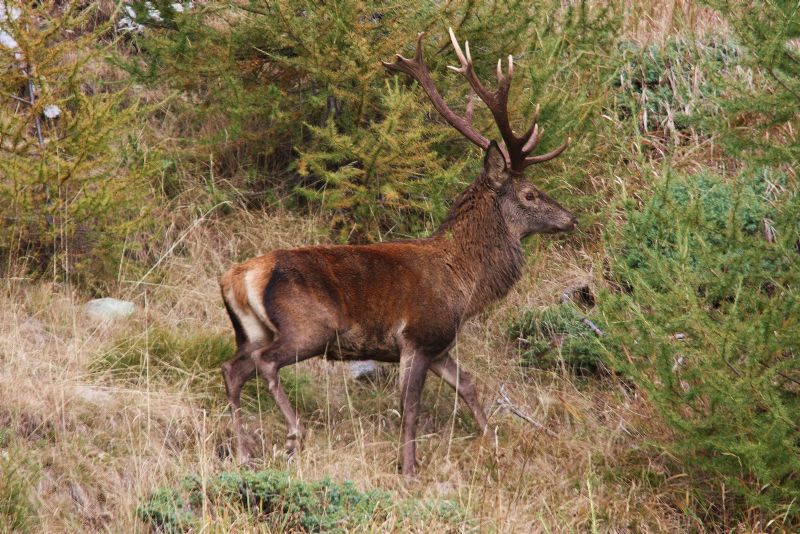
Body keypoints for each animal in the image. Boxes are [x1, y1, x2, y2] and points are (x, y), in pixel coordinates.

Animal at [218, 29, 577, 476]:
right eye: (530, 193)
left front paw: (491, 440)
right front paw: (409, 468)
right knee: (265, 363)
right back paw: (293, 435)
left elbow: (469, 385)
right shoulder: (419, 335)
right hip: (308, 327)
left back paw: (245, 450)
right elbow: (409, 408)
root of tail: (238, 277)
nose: (571, 218)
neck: (468, 286)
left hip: (250, 331)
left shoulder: (440, 346)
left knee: (232, 369)